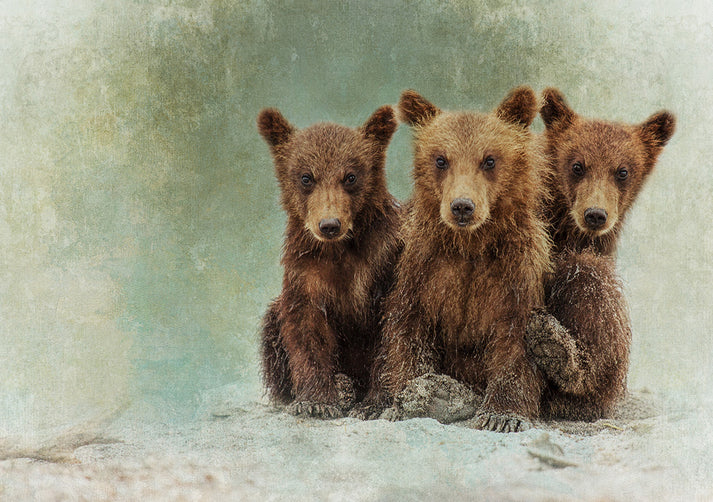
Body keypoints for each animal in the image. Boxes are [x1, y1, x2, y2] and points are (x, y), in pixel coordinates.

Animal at [257, 104, 402, 419]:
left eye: (350, 176)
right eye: (306, 177)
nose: (329, 225)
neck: (339, 250)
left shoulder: (384, 262)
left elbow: (390, 330)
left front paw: (374, 403)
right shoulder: (306, 271)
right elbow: (307, 330)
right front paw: (316, 401)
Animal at [355, 87, 551, 432]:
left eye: (489, 159)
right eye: (441, 159)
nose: (462, 206)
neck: (469, 245)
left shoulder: (514, 271)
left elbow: (515, 339)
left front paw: (502, 415)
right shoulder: (422, 270)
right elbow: (408, 334)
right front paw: (409, 398)